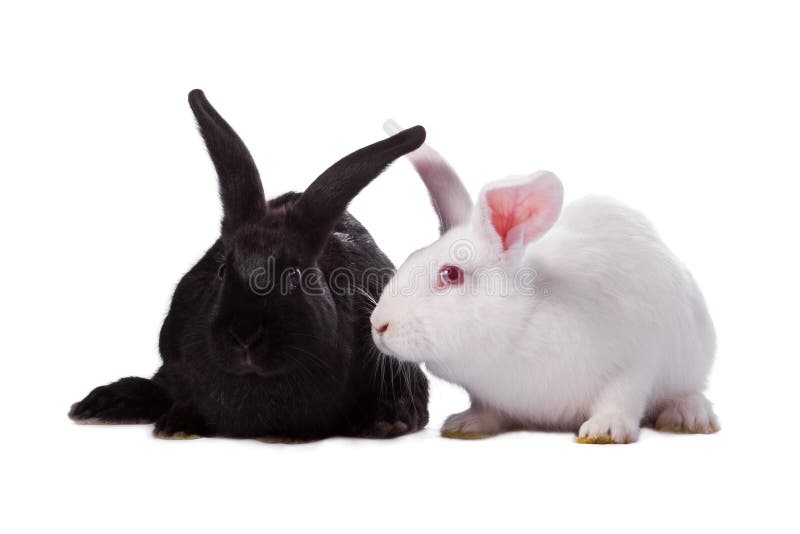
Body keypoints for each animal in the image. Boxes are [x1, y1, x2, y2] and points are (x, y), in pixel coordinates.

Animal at [68, 91, 429, 440]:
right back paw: (96, 406)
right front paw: (178, 423)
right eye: (222, 271)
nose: (243, 334)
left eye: (295, 276)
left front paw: (385, 422)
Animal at [370, 120, 718, 444]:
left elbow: (620, 398)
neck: (522, 321)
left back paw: (689, 417)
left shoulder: (634, 360)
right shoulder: (488, 394)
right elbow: (486, 409)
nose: (379, 325)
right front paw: (465, 425)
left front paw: (604, 430)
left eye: (450, 274)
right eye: (411, 257)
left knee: (687, 390)